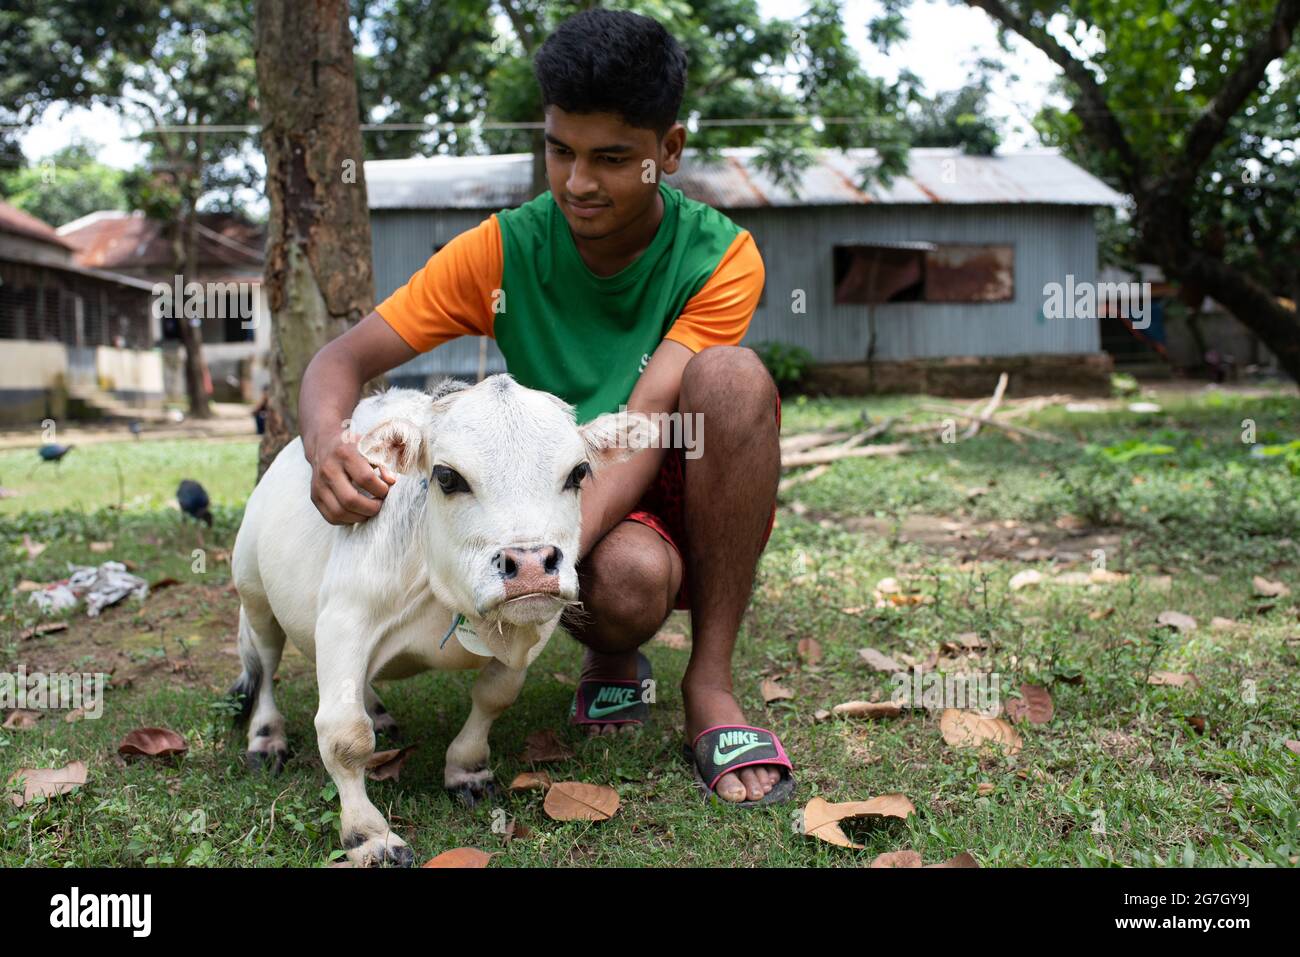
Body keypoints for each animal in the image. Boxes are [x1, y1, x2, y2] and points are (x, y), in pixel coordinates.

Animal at [229, 375, 654, 866]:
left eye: (579, 473)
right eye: (448, 477)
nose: (531, 565)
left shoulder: (531, 630)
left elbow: (493, 698)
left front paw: (467, 770)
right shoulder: (345, 618)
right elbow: (344, 737)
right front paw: (367, 836)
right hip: (255, 597)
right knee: (265, 670)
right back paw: (266, 738)